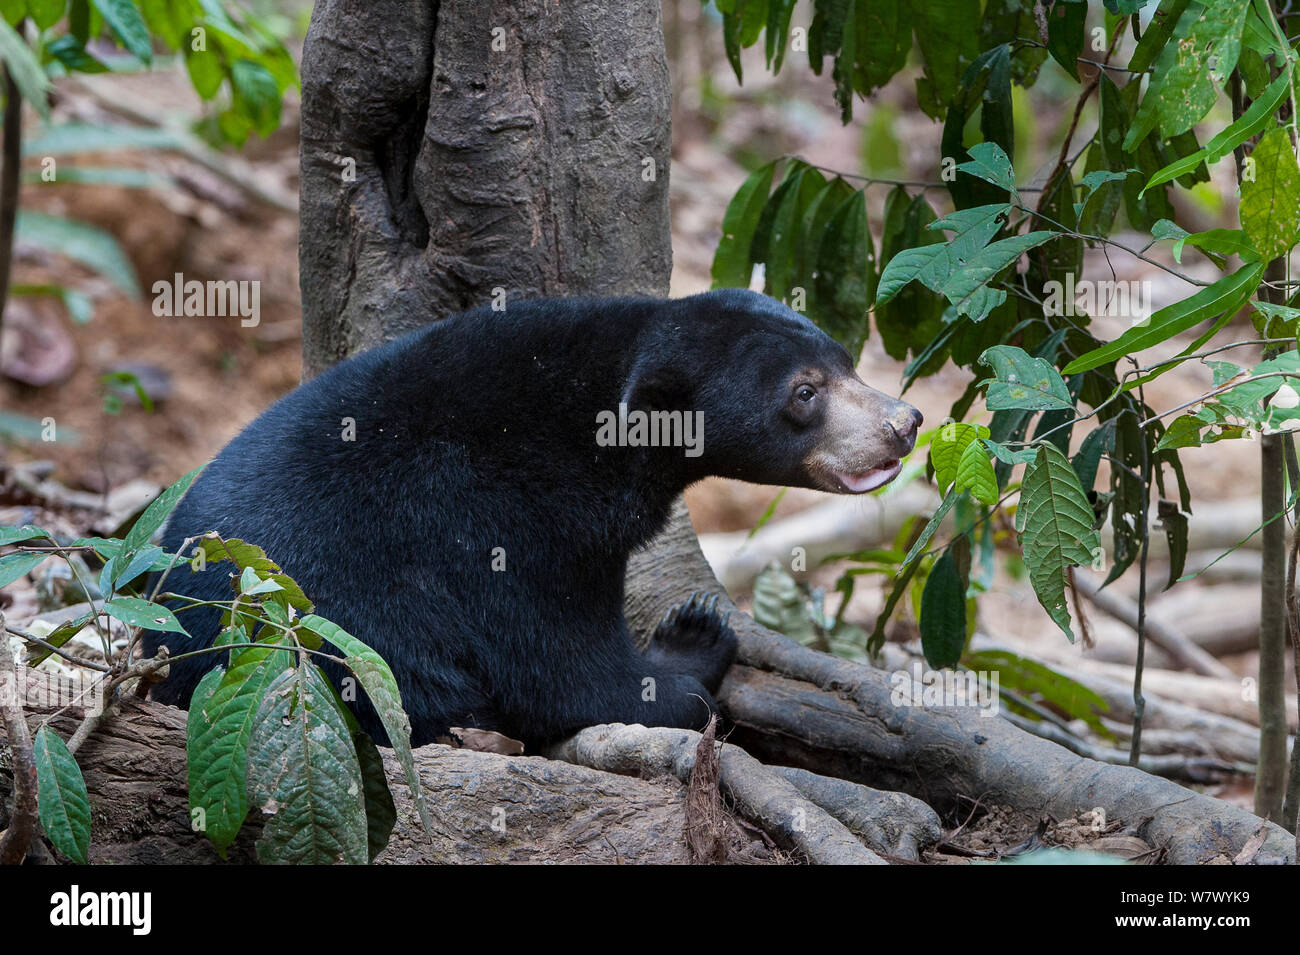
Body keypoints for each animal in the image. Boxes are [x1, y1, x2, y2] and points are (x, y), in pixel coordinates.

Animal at [144, 289, 921, 750]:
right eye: (804, 393)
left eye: (847, 360)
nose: (904, 421)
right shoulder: (502, 513)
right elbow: (553, 662)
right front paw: (690, 649)